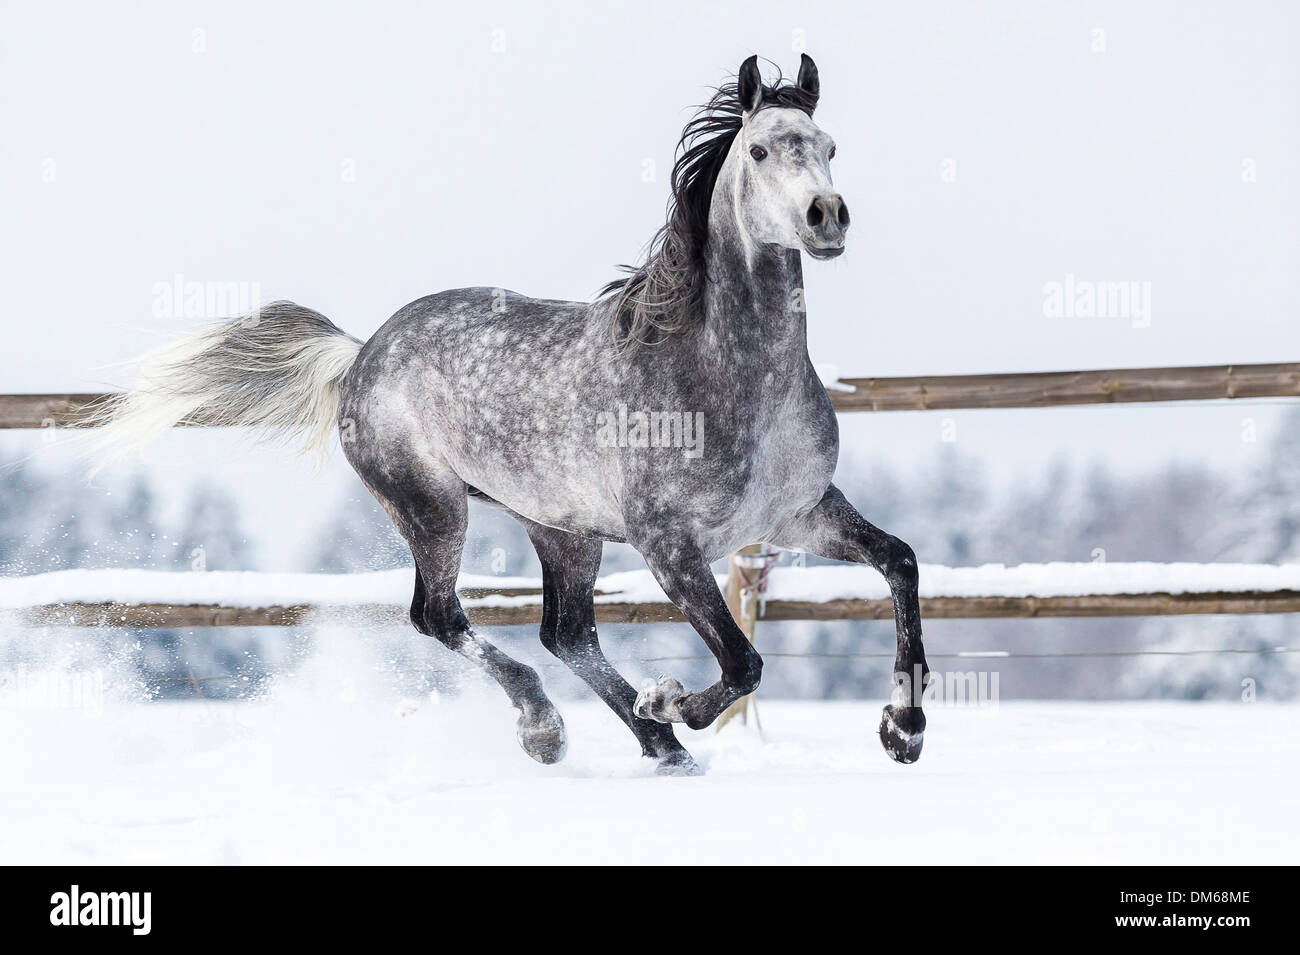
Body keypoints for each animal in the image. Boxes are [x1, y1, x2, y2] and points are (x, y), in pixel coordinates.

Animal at [89, 54, 930, 775]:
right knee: (441, 617)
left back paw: (659, 748)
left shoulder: (798, 513)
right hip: (433, 508)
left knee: (567, 633)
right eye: (758, 150)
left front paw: (905, 728)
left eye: (828, 145)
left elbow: (900, 560)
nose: (826, 215)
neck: (731, 377)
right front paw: (671, 699)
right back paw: (551, 728)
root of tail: (362, 354)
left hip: (560, 528)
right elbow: (743, 660)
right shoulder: (669, 545)